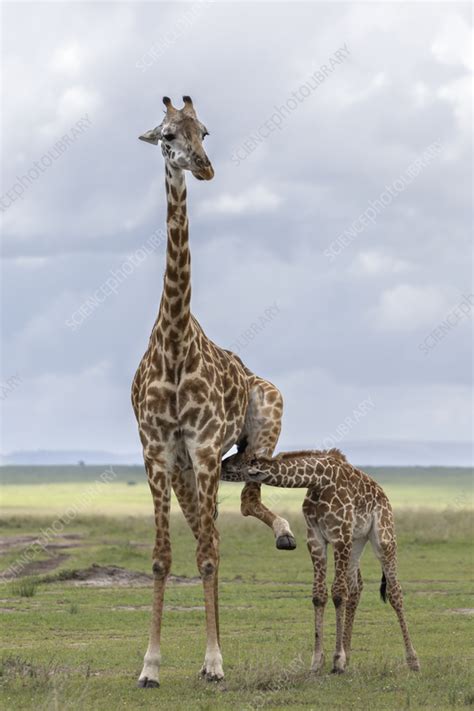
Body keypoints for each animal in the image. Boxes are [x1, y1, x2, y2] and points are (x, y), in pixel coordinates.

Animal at [132, 96, 295, 687]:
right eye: (166, 135)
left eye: (204, 130)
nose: (203, 166)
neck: (175, 341)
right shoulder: (158, 451)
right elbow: (163, 556)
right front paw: (150, 666)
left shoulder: (202, 447)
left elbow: (205, 554)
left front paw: (215, 661)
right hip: (187, 469)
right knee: (216, 527)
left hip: (260, 430)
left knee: (237, 510)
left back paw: (284, 534)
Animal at [222, 447, 420, 674]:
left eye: (239, 459)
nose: (221, 465)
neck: (318, 479)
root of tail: (383, 493)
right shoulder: (315, 538)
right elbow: (319, 595)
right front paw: (318, 660)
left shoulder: (340, 536)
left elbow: (338, 593)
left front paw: (337, 660)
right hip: (357, 541)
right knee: (355, 587)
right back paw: (349, 654)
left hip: (383, 536)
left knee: (394, 591)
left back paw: (413, 660)